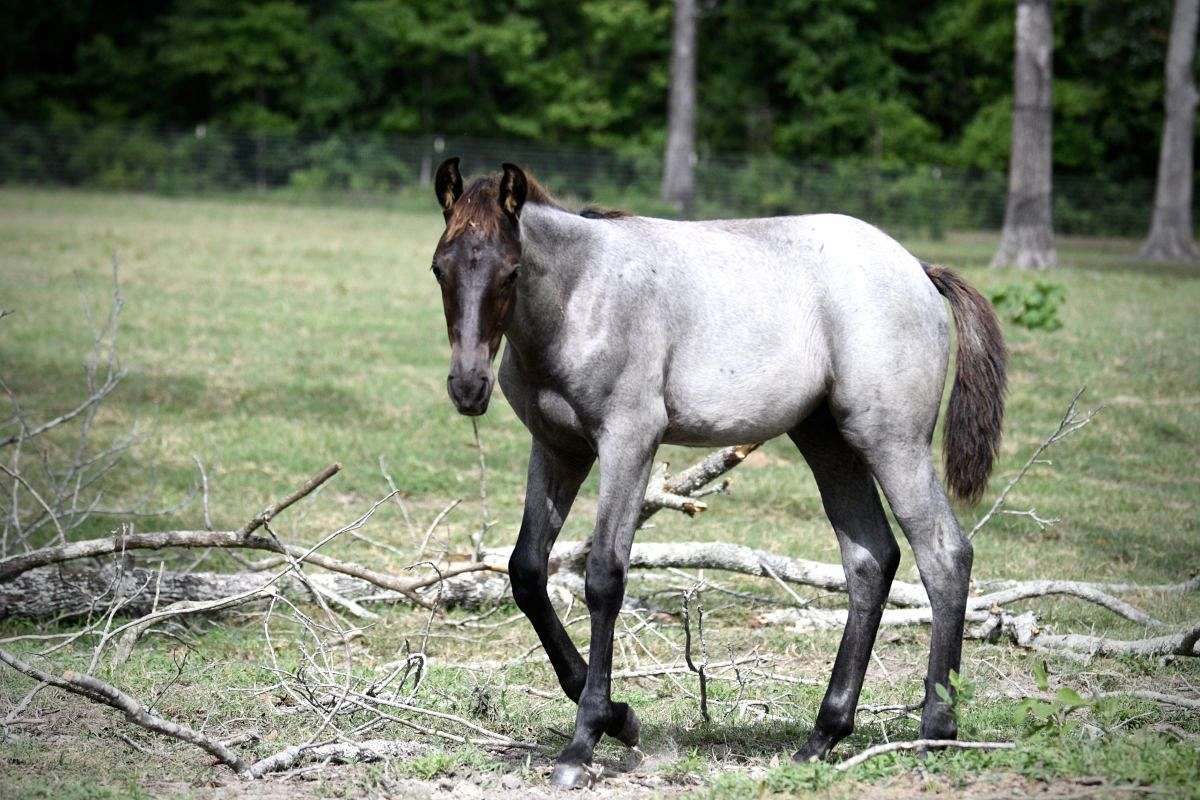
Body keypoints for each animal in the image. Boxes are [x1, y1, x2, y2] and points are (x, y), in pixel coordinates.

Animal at [427, 158, 1006, 788]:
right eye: (439, 268)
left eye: (511, 272)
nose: (468, 386)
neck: (581, 296)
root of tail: (920, 270)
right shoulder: (558, 448)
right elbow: (527, 571)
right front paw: (620, 718)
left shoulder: (630, 441)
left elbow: (604, 576)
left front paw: (585, 740)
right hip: (828, 441)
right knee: (871, 560)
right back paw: (822, 738)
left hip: (892, 441)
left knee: (944, 554)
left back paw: (935, 734)